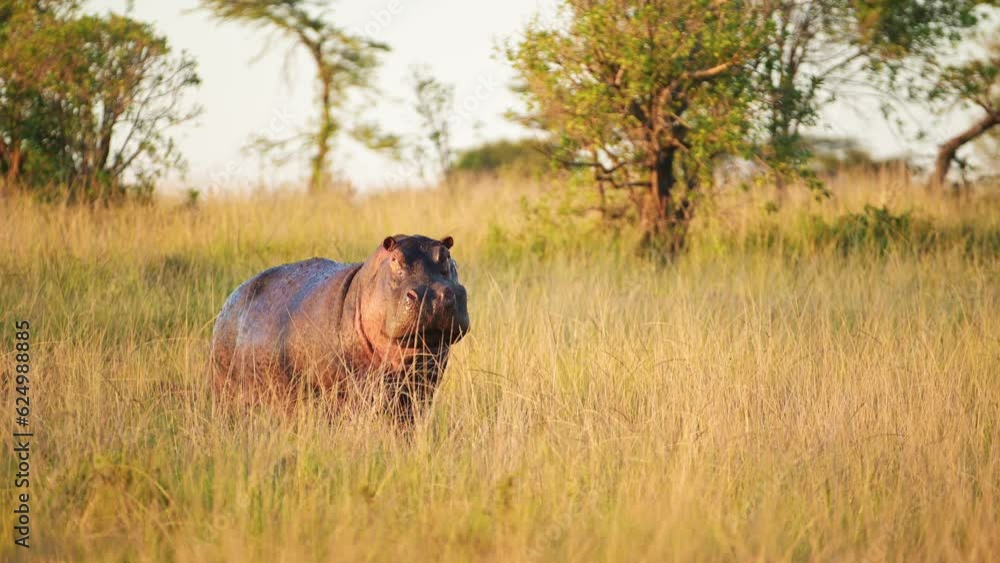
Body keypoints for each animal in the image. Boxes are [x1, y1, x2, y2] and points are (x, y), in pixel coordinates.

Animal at [210, 234, 470, 422]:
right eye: (395, 259)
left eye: (447, 256)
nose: (433, 294)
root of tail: (231, 297)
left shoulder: (422, 386)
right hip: (225, 390)